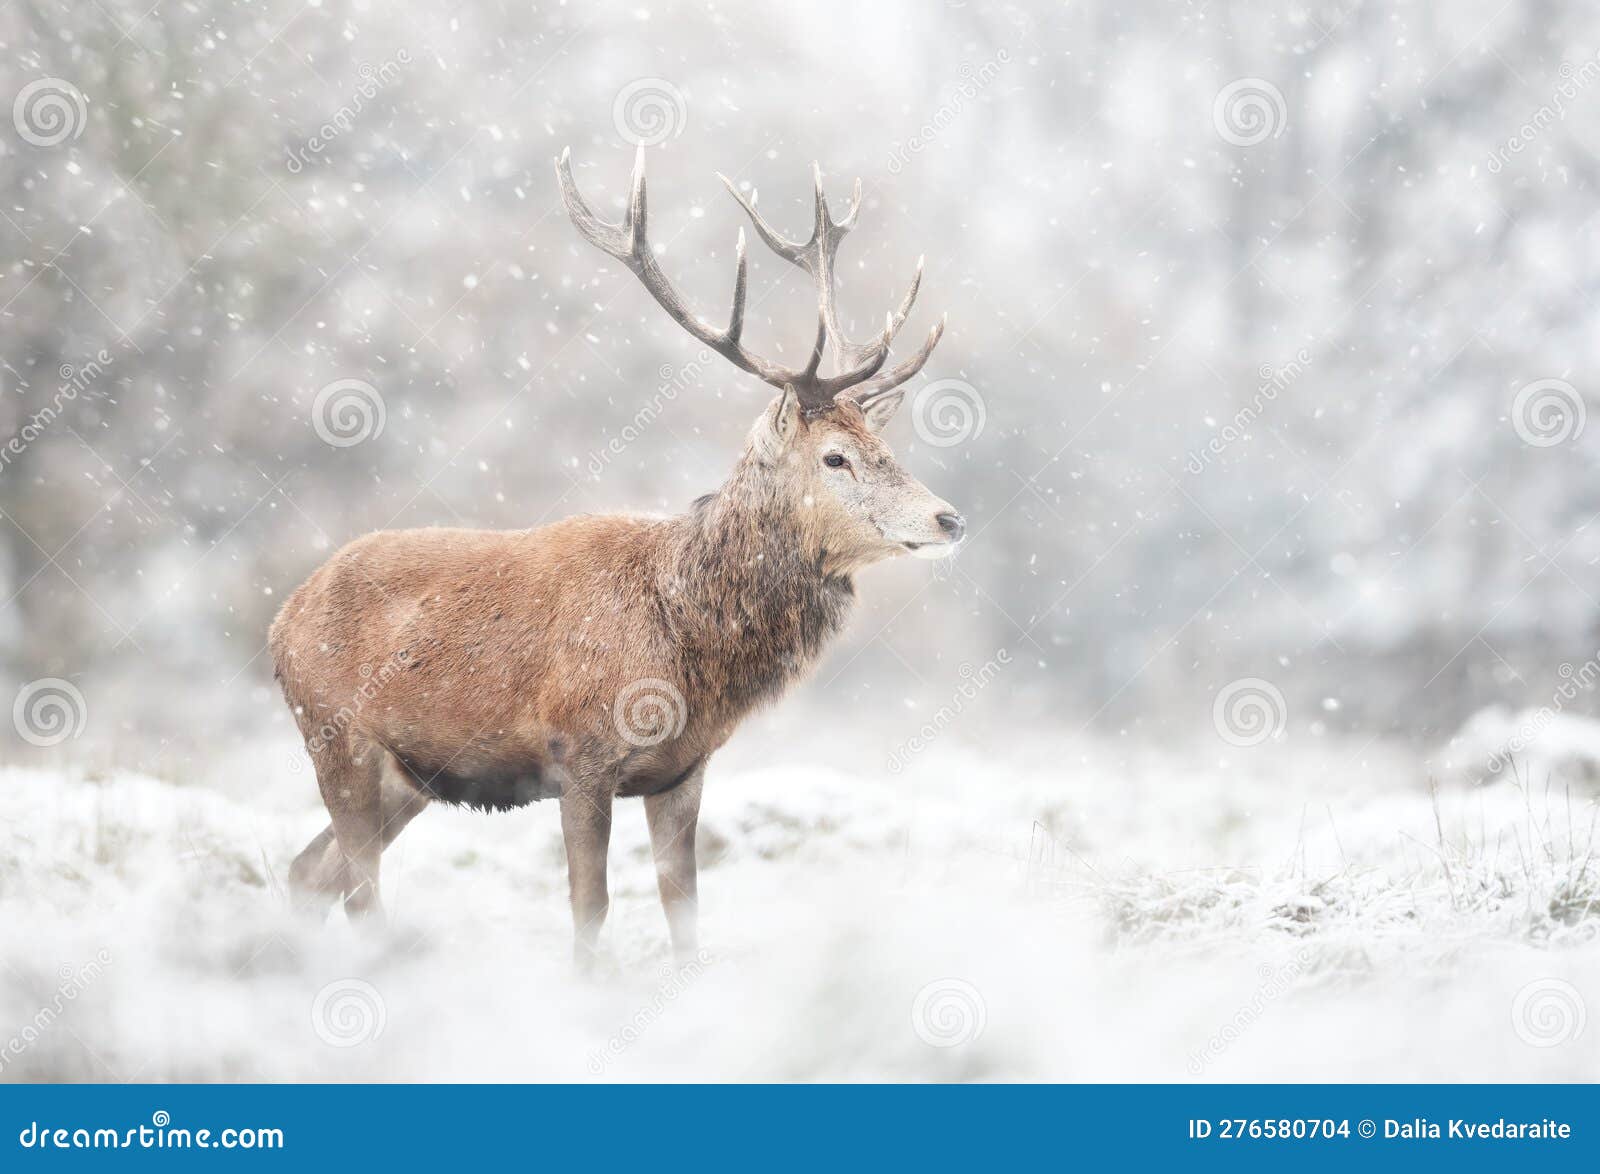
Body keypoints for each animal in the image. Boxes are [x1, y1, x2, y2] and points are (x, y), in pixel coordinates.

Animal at [269, 145, 965, 966]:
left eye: (886, 448)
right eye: (835, 458)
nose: (949, 518)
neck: (686, 644)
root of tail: (281, 622)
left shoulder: (683, 771)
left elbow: (684, 909)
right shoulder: (582, 754)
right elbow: (589, 907)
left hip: (409, 778)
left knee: (308, 872)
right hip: (335, 737)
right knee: (356, 889)